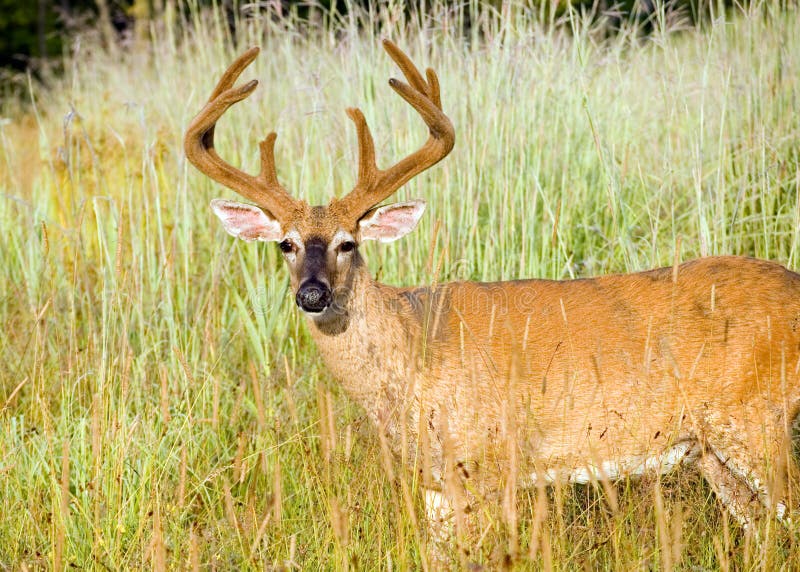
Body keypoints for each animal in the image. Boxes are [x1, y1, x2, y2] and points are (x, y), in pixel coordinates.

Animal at [185, 40, 800, 563]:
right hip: (709, 449)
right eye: (285, 244)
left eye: (347, 243)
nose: (312, 294)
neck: (414, 347)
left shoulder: (483, 462)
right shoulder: (434, 480)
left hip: (757, 418)